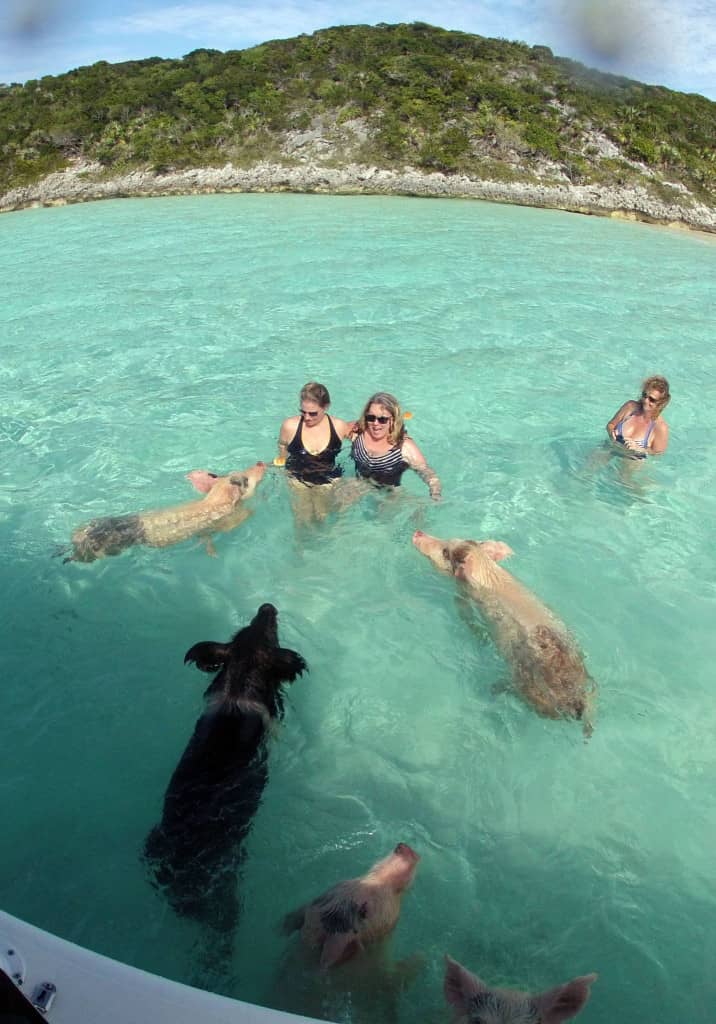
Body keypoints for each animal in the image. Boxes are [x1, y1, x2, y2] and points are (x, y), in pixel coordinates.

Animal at [412, 532, 595, 735]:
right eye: (450, 541)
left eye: (446, 552)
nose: (418, 533)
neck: (486, 572)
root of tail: (576, 701)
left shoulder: (462, 596)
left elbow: (467, 617)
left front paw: (481, 639)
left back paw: (493, 689)